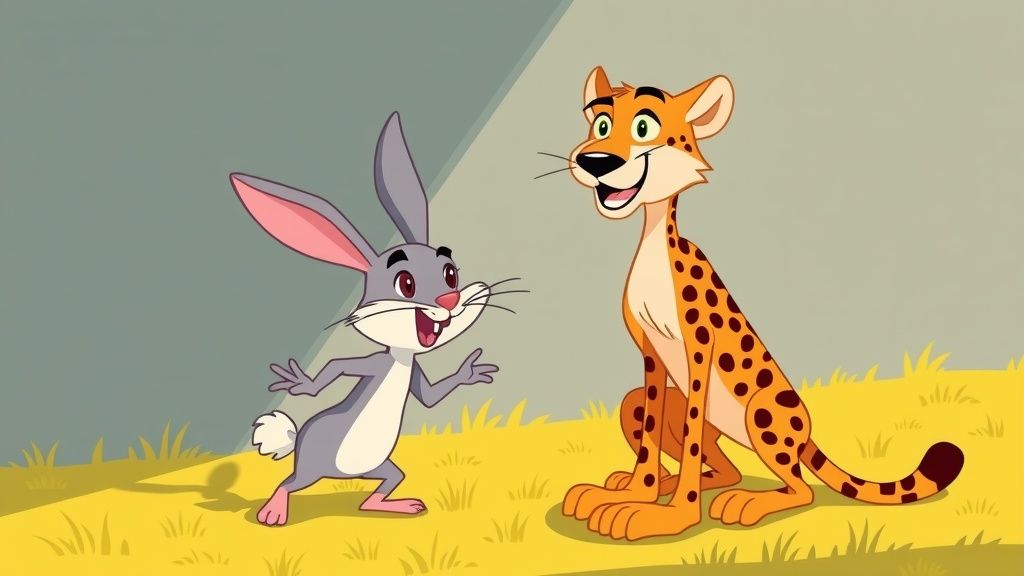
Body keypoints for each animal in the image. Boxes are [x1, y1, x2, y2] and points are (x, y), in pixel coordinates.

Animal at [230, 112, 515, 526]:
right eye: (406, 283)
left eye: (450, 273)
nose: (448, 299)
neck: (401, 357)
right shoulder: (373, 363)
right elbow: (335, 367)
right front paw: (301, 383)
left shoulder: (414, 373)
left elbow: (430, 398)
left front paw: (468, 371)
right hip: (313, 464)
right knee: (288, 483)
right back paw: (274, 511)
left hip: (383, 466)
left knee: (380, 488)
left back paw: (393, 504)